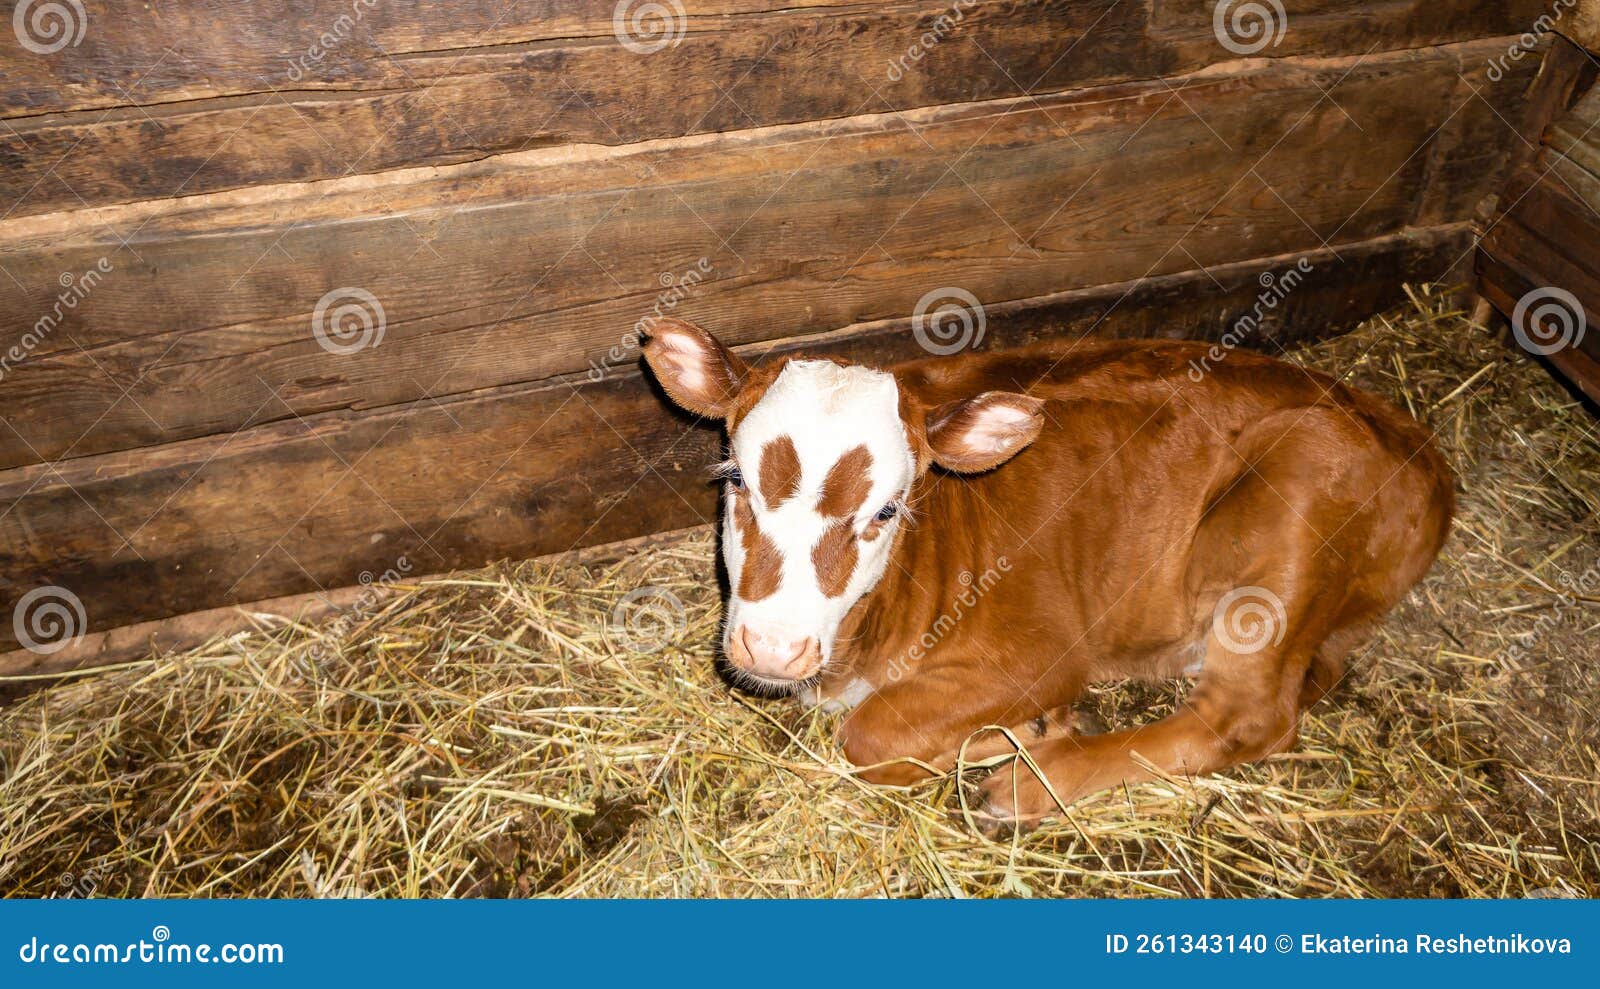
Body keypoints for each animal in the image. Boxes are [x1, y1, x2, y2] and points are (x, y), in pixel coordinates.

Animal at [642, 317, 1454, 827]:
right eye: (736, 479)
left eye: (887, 510)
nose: (775, 648)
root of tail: (1417, 443)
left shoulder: (1041, 649)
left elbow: (872, 735)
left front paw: (1023, 732)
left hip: (1295, 510)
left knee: (1245, 717)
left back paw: (1031, 784)